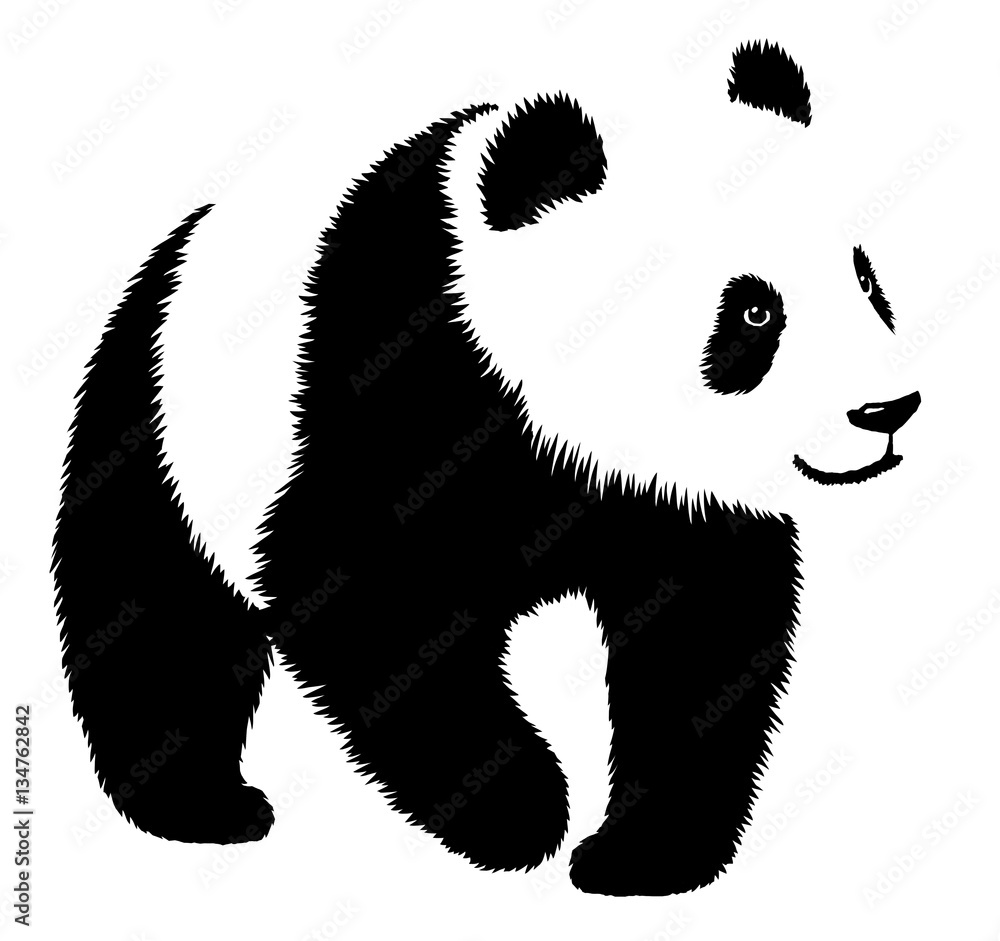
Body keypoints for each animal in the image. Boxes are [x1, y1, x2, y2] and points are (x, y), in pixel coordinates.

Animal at [53, 41, 930, 898]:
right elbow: (368, 594)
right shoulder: (402, 381)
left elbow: (701, 639)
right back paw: (200, 804)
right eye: (753, 311)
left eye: (865, 277)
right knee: (157, 611)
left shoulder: (678, 499)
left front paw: (642, 856)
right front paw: (518, 813)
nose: (887, 410)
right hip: (157, 430)